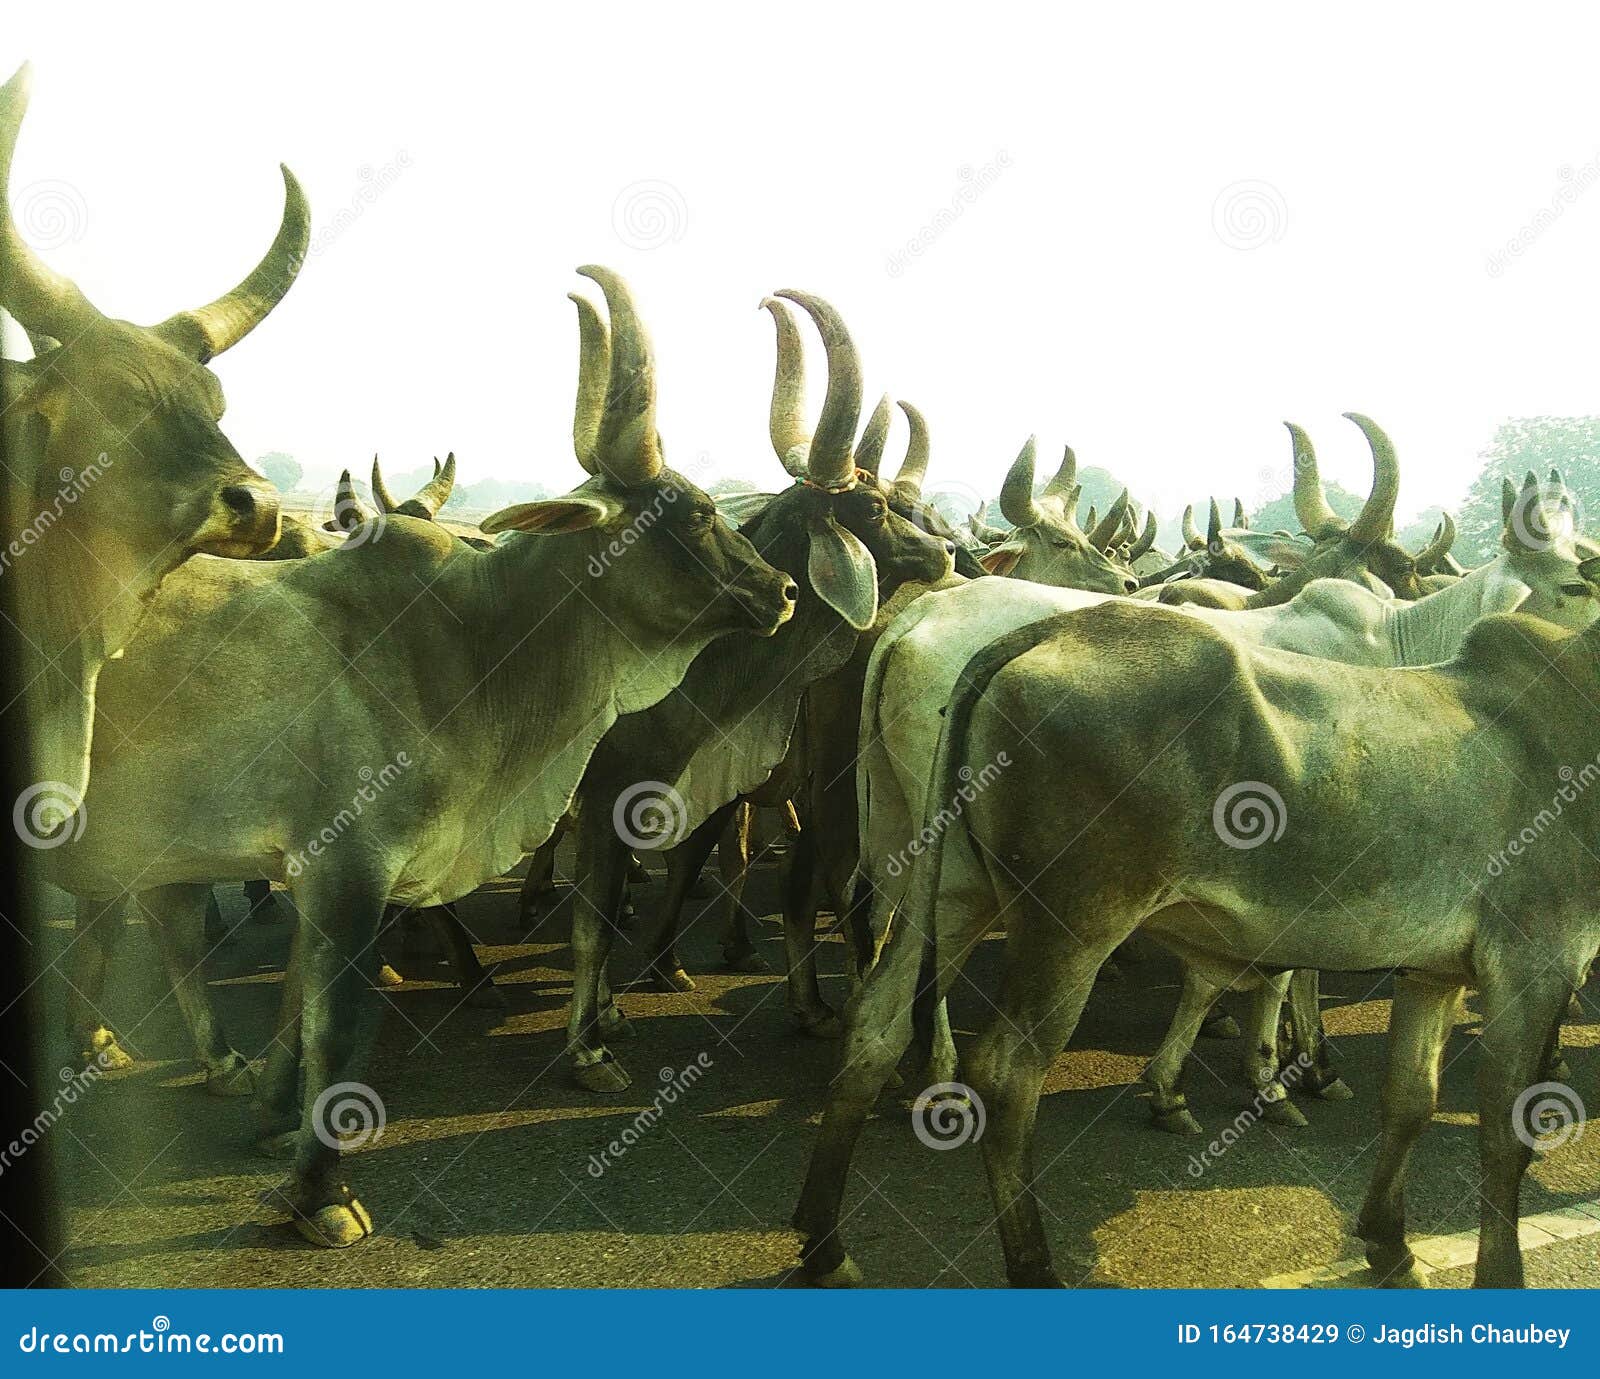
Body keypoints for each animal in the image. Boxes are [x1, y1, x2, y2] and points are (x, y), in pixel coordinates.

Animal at [45, 266, 798, 1247]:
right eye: (703, 512)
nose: (782, 589)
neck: (474, 641)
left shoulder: (327, 872)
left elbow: (301, 1003)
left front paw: (273, 1118)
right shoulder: (348, 867)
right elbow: (337, 1026)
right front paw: (318, 1192)